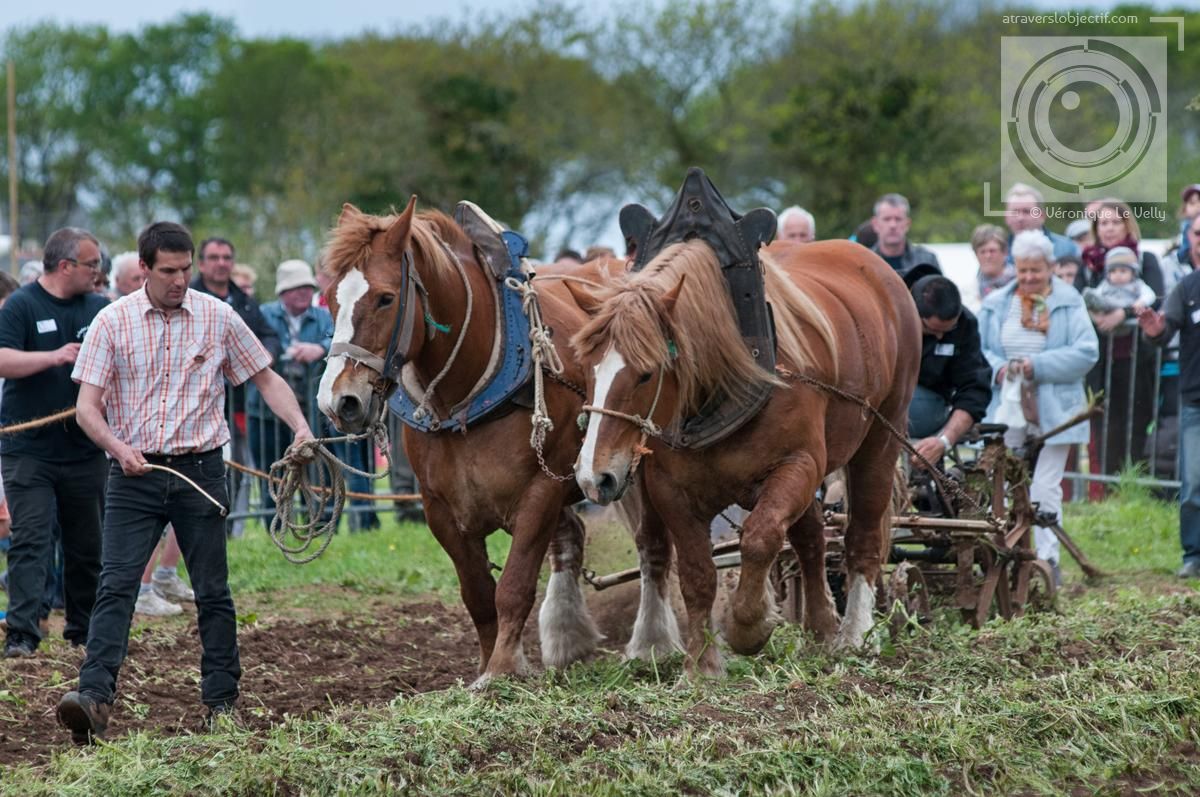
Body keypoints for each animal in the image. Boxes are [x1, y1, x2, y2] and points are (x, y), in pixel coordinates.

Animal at [316, 198, 682, 686]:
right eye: (330, 298)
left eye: (385, 298)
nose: (337, 400)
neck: (467, 396)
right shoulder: (438, 508)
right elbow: (477, 593)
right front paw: (489, 664)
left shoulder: (541, 492)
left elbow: (513, 585)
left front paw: (502, 670)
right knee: (571, 540)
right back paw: (567, 640)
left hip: (629, 466)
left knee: (651, 545)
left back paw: (651, 644)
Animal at [567, 238, 921, 677]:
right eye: (586, 368)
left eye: (647, 373)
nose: (593, 477)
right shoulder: (670, 490)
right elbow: (697, 573)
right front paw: (701, 665)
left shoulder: (798, 465)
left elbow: (759, 538)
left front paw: (749, 626)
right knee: (811, 539)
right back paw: (822, 628)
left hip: (881, 437)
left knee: (862, 536)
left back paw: (855, 634)